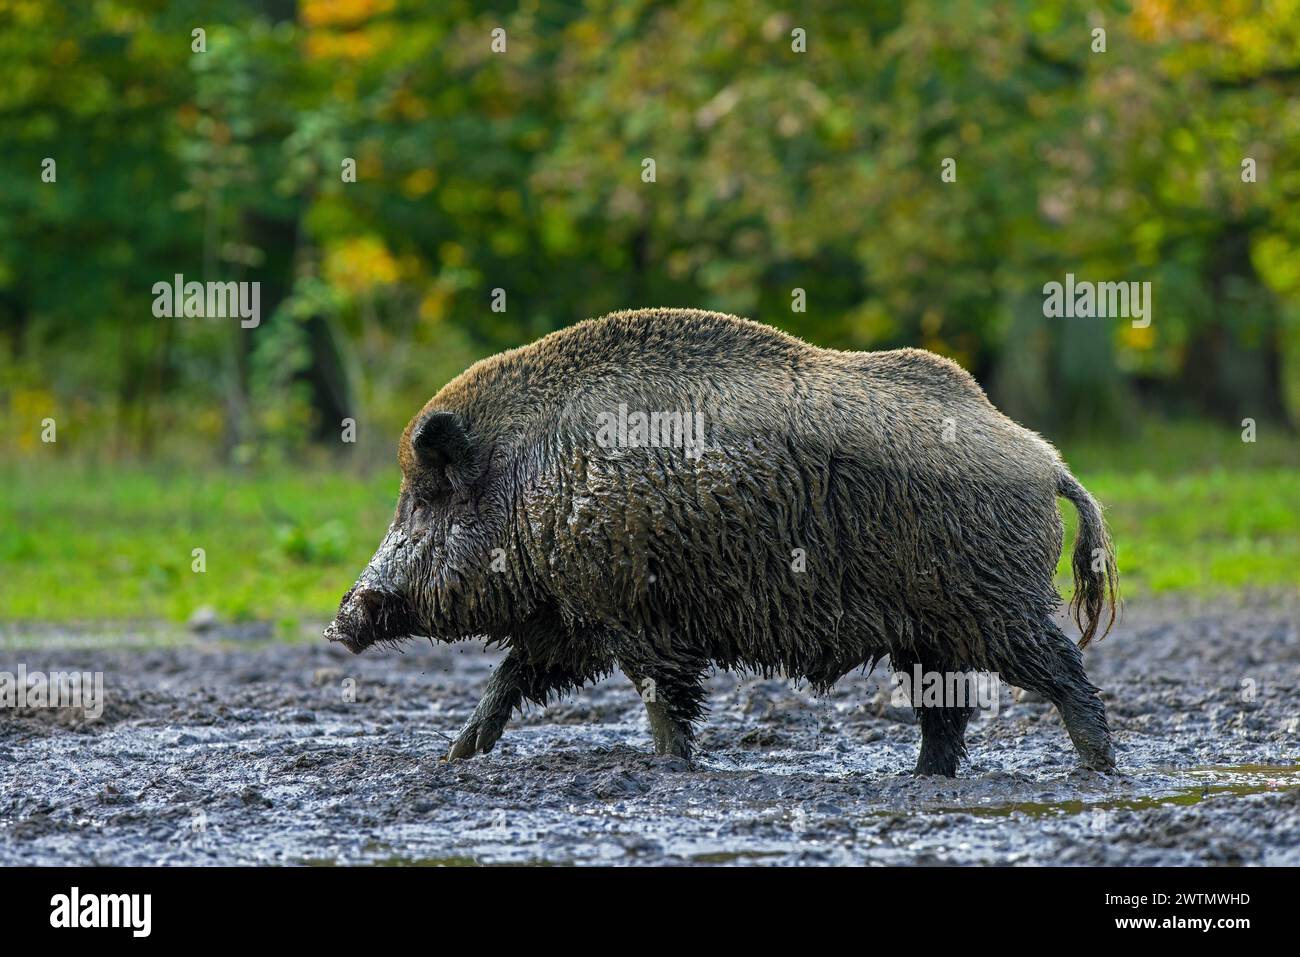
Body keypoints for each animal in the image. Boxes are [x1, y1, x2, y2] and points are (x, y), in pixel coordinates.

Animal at [325, 308, 1119, 776]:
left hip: (994, 607)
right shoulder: (568, 619)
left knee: (1062, 673)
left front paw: (672, 769)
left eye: (422, 502)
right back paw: (920, 779)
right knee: (946, 710)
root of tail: (1047, 460)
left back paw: (1098, 768)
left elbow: (662, 701)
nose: (341, 620)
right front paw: (450, 760)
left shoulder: (634, 616)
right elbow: (508, 680)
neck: (529, 479)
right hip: (935, 629)